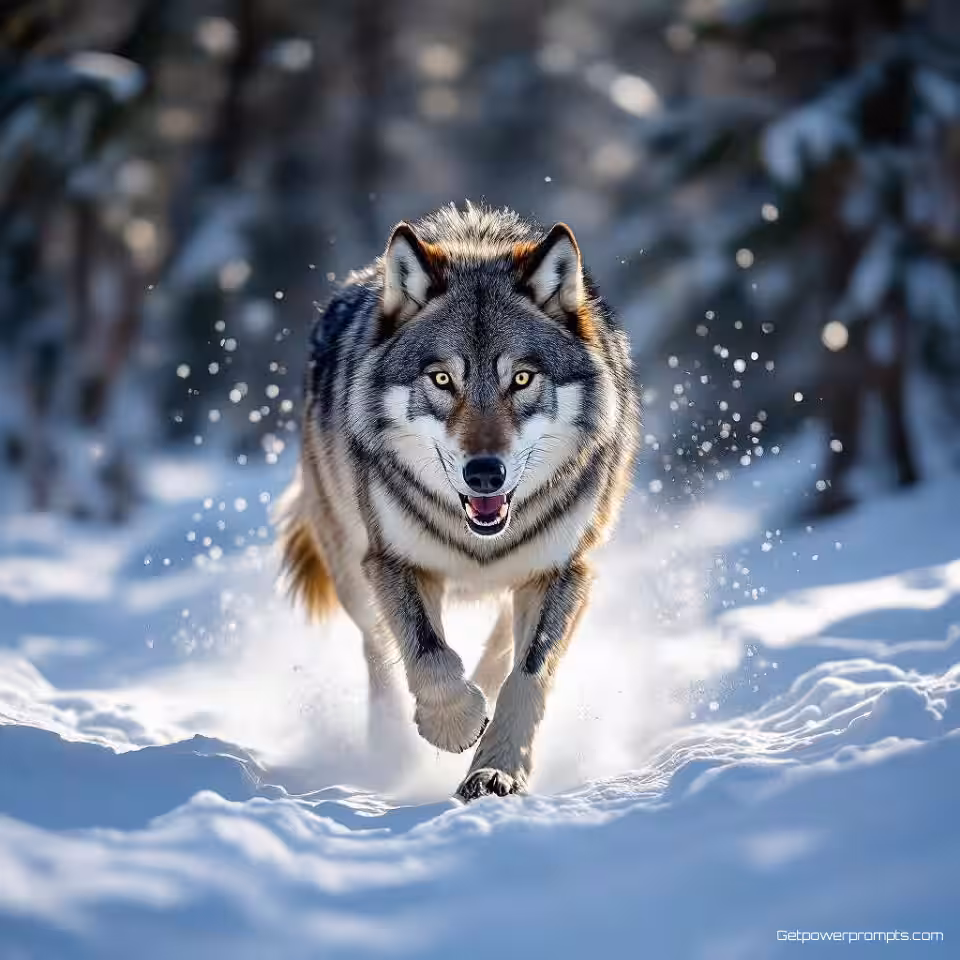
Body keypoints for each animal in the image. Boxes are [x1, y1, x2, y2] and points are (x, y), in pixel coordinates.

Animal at [277, 204, 639, 800]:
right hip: (352, 570)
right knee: (379, 651)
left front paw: (497, 768)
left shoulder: (568, 568)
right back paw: (393, 749)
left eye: (522, 378)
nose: (485, 473)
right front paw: (453, 724)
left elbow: (528, 673)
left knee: (499, 648)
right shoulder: (394, 561)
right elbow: (427, 653)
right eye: (443, 379)